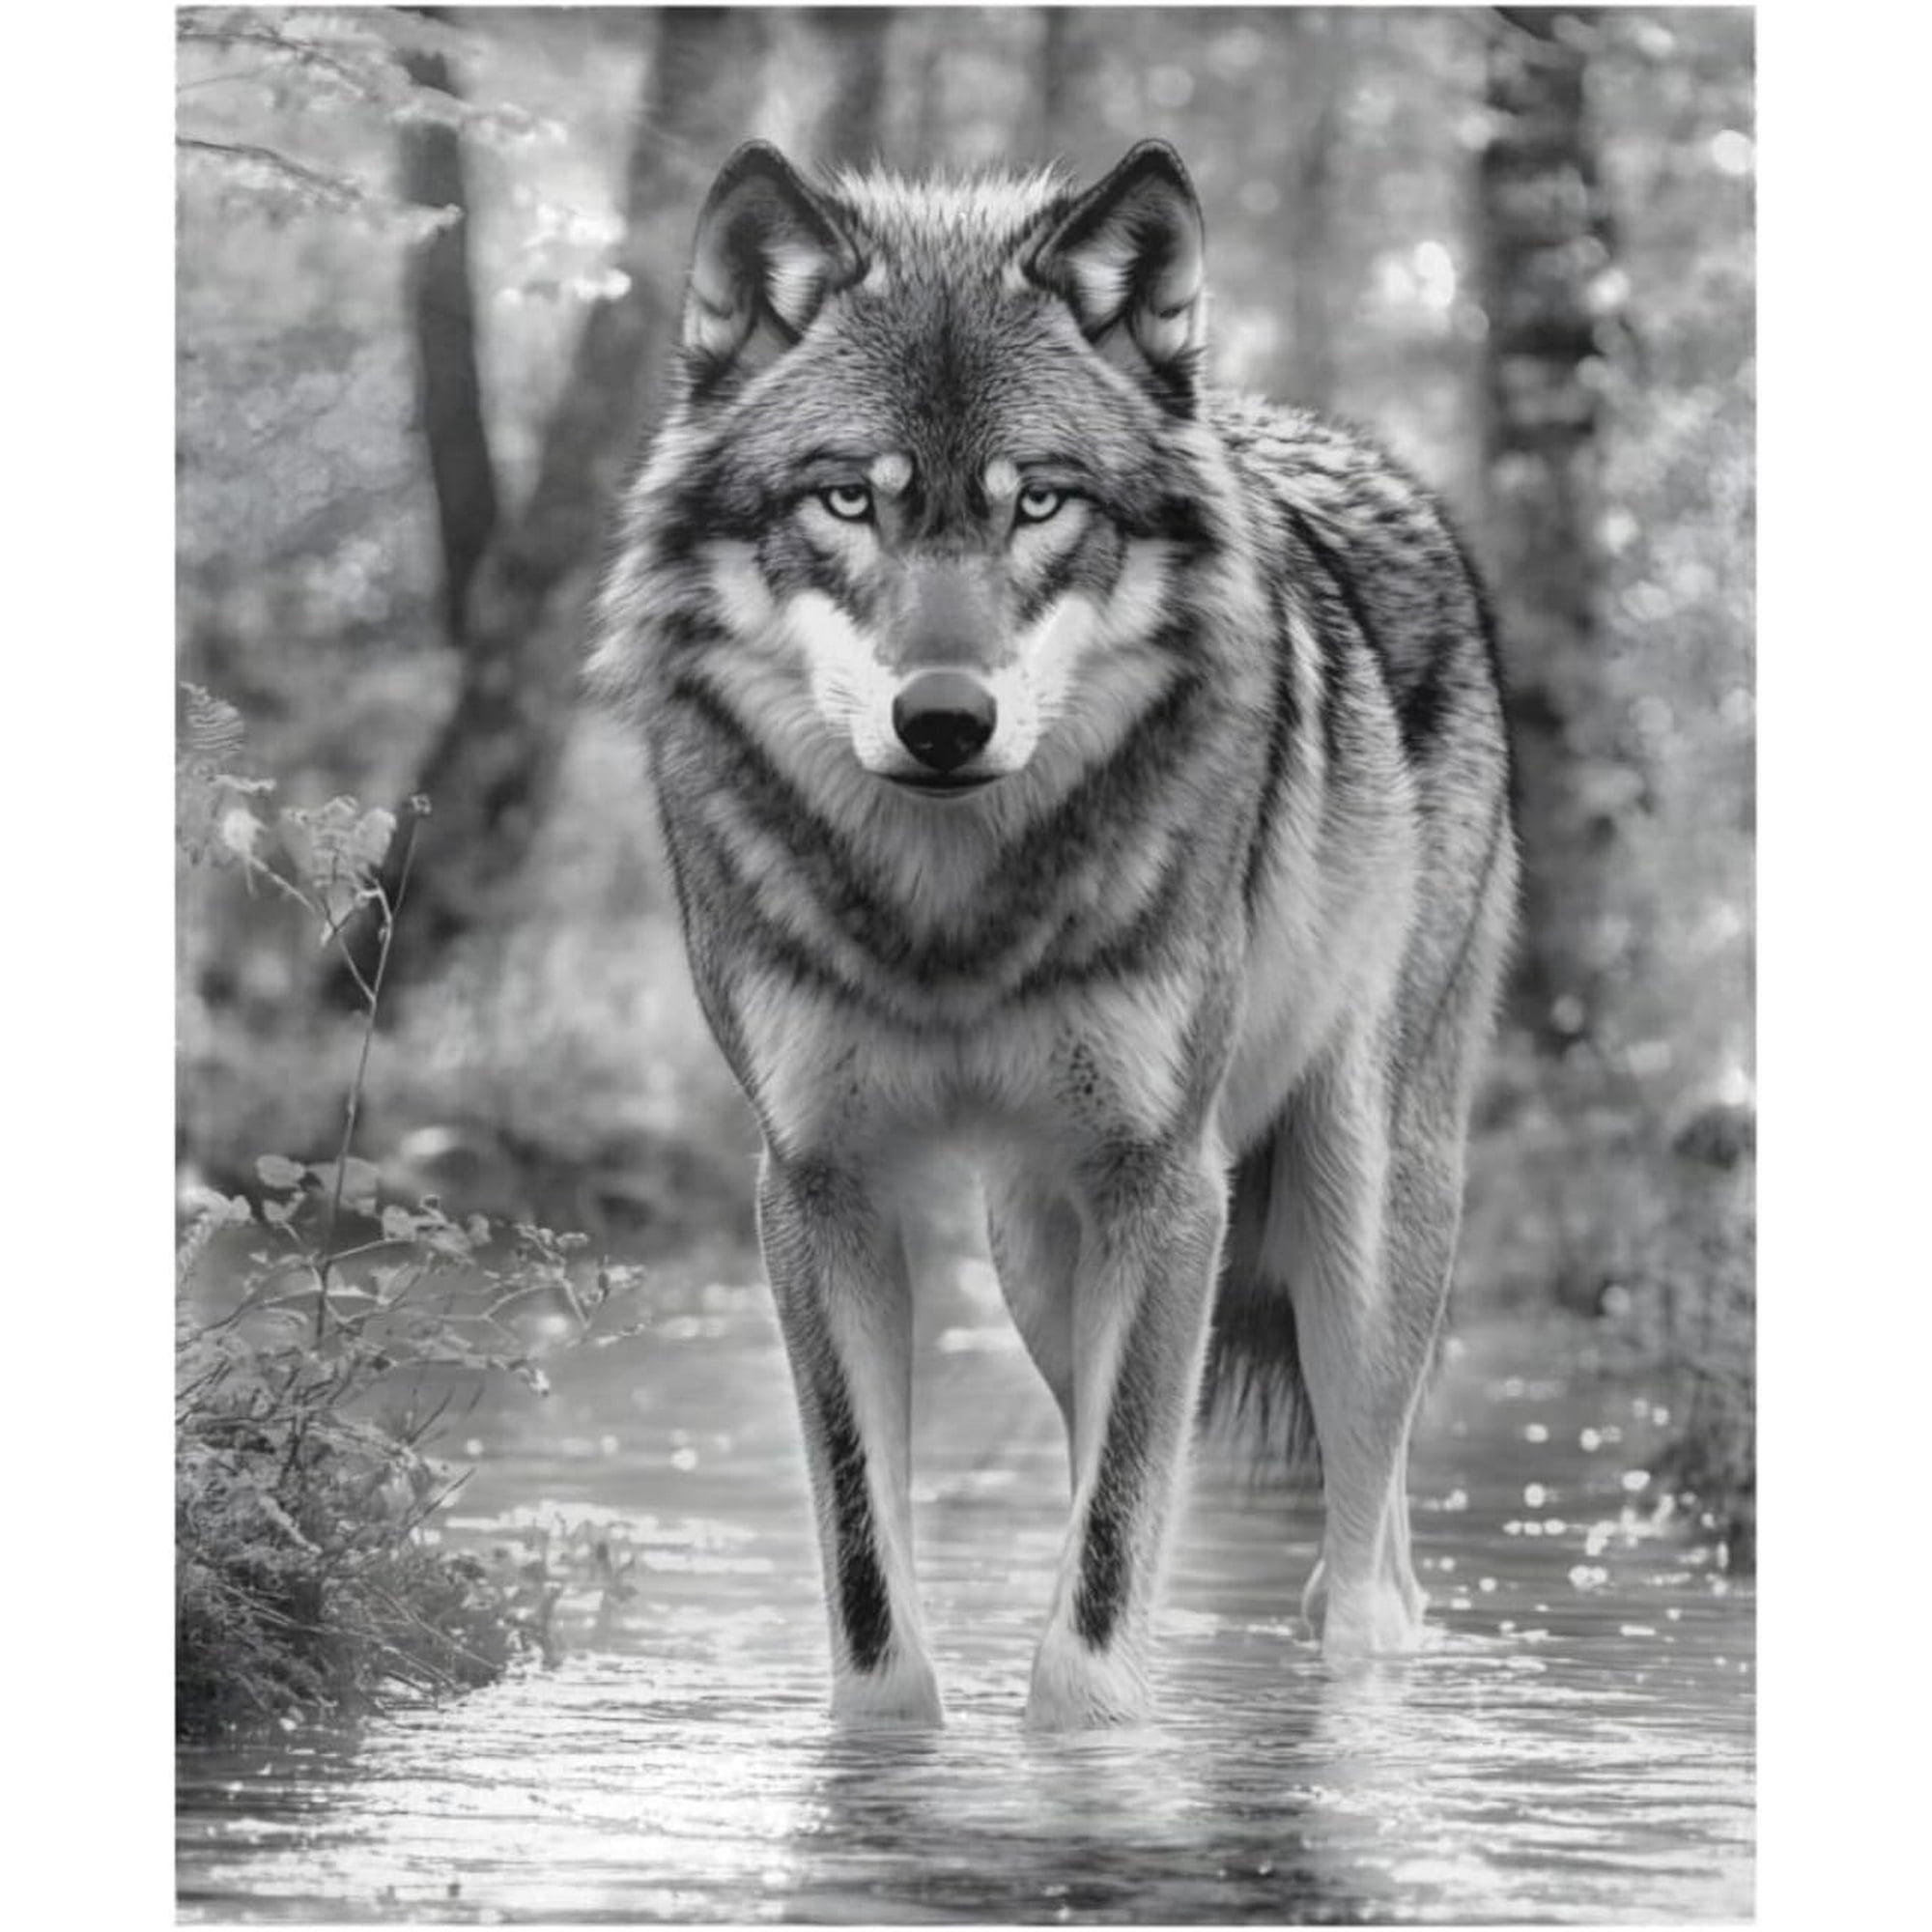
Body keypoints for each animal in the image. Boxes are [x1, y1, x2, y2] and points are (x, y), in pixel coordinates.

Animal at [592, 139, 1517, 1731]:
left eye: (1040, 503)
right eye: (848, 501)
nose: (944, 719)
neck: (949, 920)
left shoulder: (1169, 1181)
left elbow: (1095, 1611)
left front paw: (1088, 1759)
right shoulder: (819, 1190)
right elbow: (875, 1600)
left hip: (1351, 1211)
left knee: (1366, 1558)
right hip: (1040, 1253)